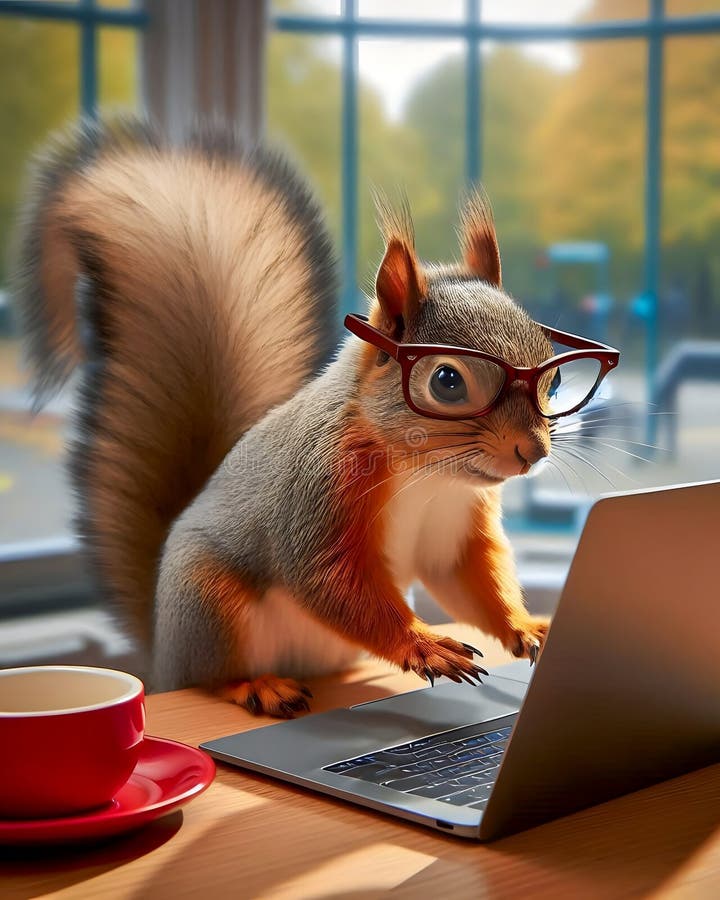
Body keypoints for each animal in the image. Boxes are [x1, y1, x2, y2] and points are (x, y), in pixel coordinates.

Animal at [13, 118, 553, 718]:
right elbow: (327, 580)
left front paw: (527, 627)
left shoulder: (454, 526)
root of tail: (164, 651)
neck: (426, 472)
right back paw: (259, 685)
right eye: (447, 381)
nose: (533, 452)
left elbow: (465, 579)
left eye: (553, 376)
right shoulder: (317, 491)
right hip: (210, 604)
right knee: (212, 675)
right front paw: (425, 645)